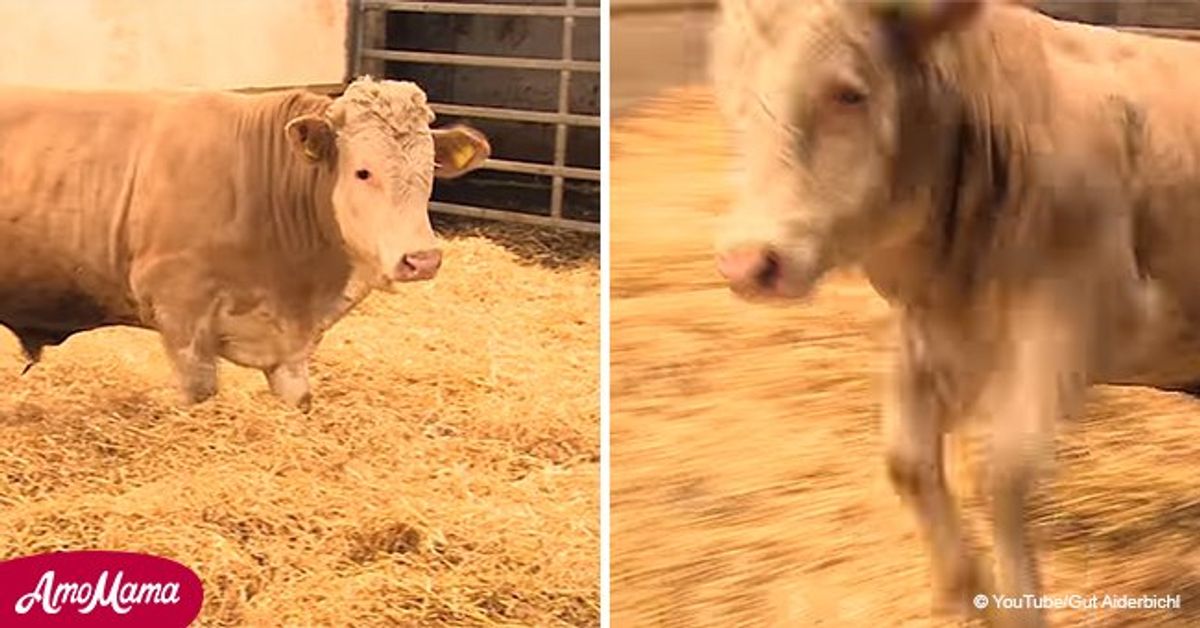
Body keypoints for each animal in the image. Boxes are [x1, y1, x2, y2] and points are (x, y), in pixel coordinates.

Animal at [0, 76, 490, 410]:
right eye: (362, 171)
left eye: (429, 170)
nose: (422, 259)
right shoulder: (178, 308)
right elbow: (201, 391)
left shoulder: (291, 352)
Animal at [713, 0, 1200, 625]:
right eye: (732, 95)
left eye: (849, 93)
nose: (748, 263)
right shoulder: (928, 331)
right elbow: (906, 459)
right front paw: (961, 589)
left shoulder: (1071, 324)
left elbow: (1002, 473)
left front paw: (1017, 604)